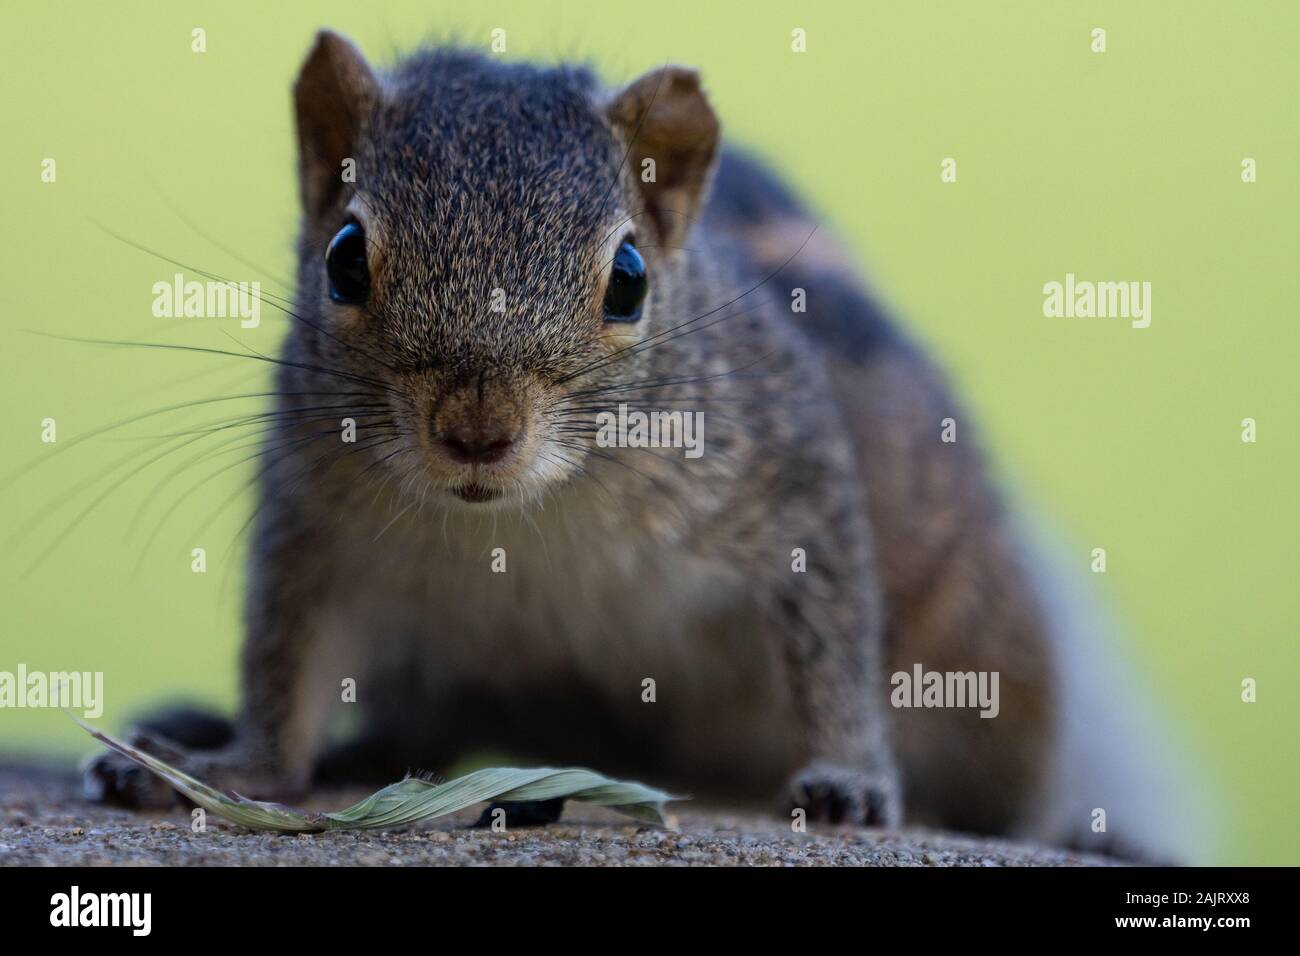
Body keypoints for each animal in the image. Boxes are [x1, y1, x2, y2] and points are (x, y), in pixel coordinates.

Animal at [85, 32, 1198, 859]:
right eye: (345, 259)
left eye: (628, 279)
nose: (478, 430)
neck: (523, 516)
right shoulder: (313, 523)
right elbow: (287, 661)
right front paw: (236, 764)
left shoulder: (791, 474)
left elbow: (833, 631)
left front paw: (849, 775)